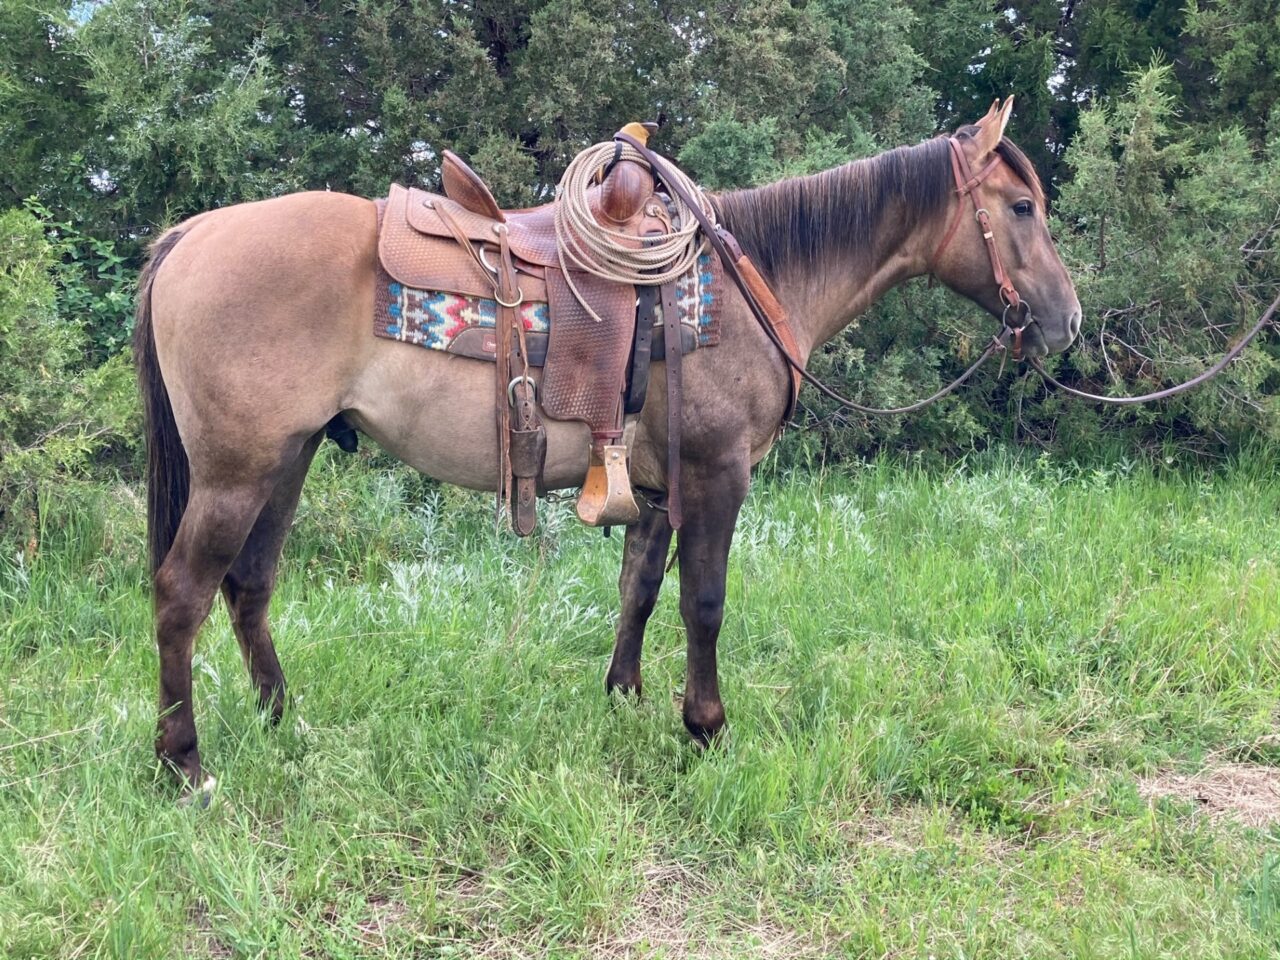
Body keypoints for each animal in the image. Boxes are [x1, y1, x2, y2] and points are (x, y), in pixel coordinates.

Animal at [134, 98, 1080, 791]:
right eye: (1022, 207)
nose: (1067, 321)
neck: (751, 280)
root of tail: (192, 235)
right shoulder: (716, 476)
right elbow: (705, 603)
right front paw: (705, 728)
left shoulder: (657, 486)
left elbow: (641, 591)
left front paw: (623, 699)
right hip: (236, 472)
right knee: (182, 594)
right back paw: (186, 763)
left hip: (286, 460)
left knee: (248, 587)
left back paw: (280, 720)